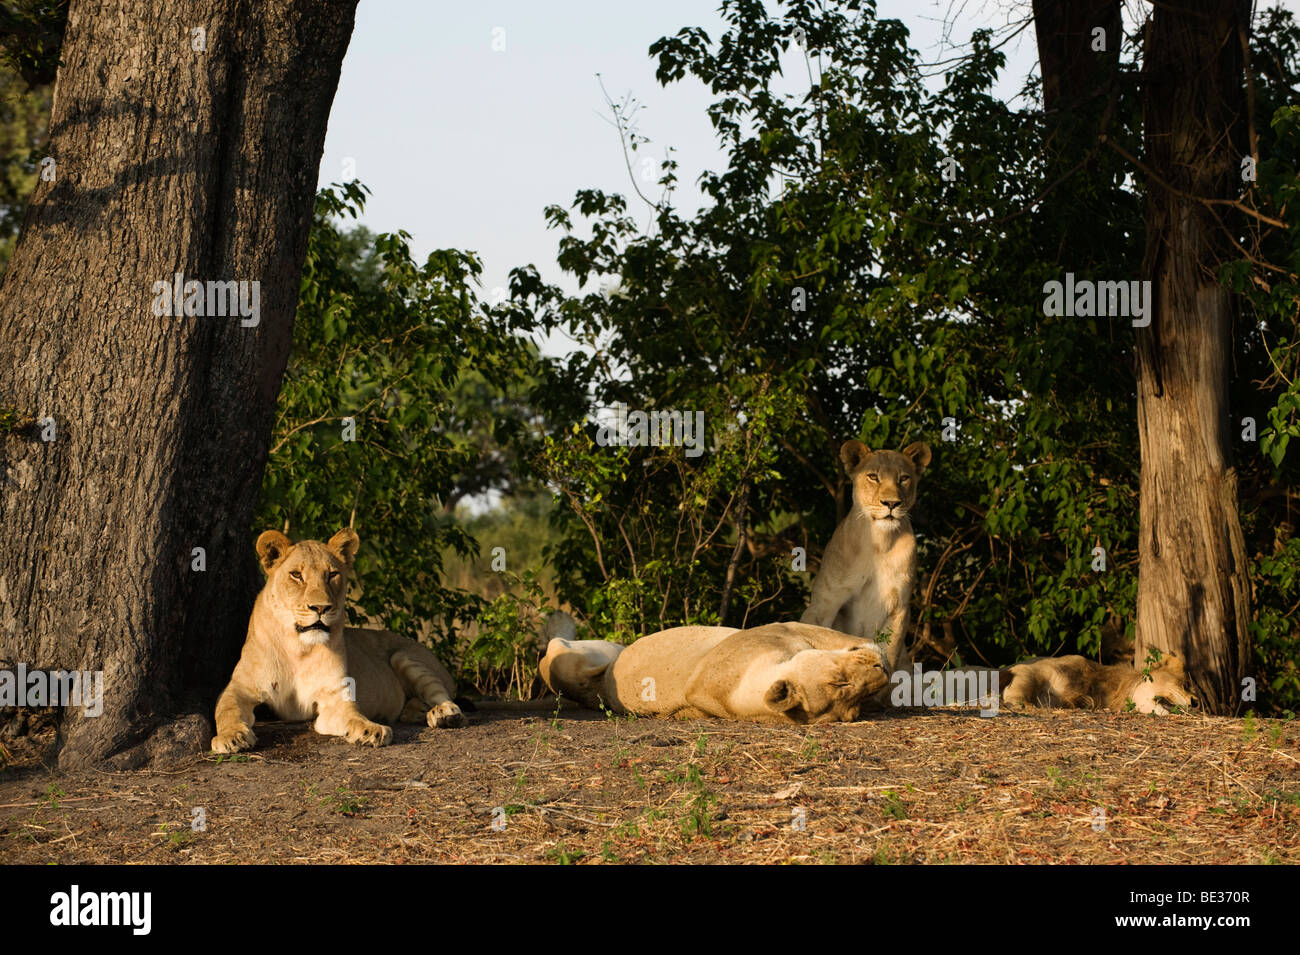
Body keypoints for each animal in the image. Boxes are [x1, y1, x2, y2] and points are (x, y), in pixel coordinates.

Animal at [210, 528, 465, 754]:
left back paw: (444, 715)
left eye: (332, 574)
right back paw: (418, 711)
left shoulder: (335, 695)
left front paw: (371, 730)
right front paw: (231, 737)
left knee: (444, 694)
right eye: (296, 575)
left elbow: (353, 714)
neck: (298, 648)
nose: (321, 608)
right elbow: (227, 709)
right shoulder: (240, 687)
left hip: (404, 656)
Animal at [539, 621, 890, 724]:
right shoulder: (782, 628)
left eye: (856, 708)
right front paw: (874, 648)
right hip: (571, 655)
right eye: (838, 682)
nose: (883, 671)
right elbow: (842, 637)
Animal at [801, 439, 932, 680]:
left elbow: (890, 653)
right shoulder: (824, 604)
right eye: (873, 476)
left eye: (904, 478)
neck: (879, 543)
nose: (891, 503)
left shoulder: (899, 608)